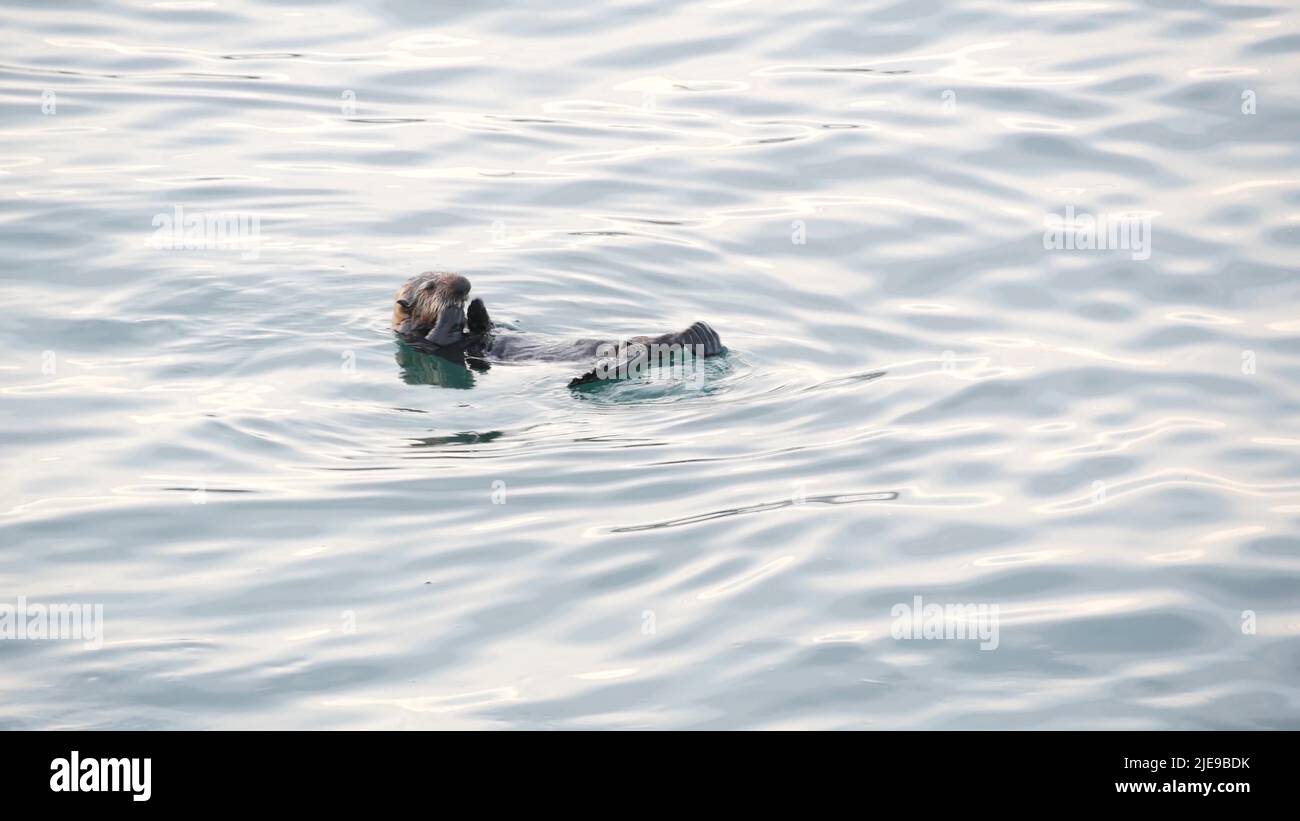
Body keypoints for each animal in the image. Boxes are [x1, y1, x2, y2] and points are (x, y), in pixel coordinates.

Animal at [391, 271, 723, 386]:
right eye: (430, 286)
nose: (464, 285)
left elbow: (486, 326)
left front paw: (477, 305)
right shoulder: (425, 343)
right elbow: (442, 335)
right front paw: (456, 309)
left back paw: (702, 334)